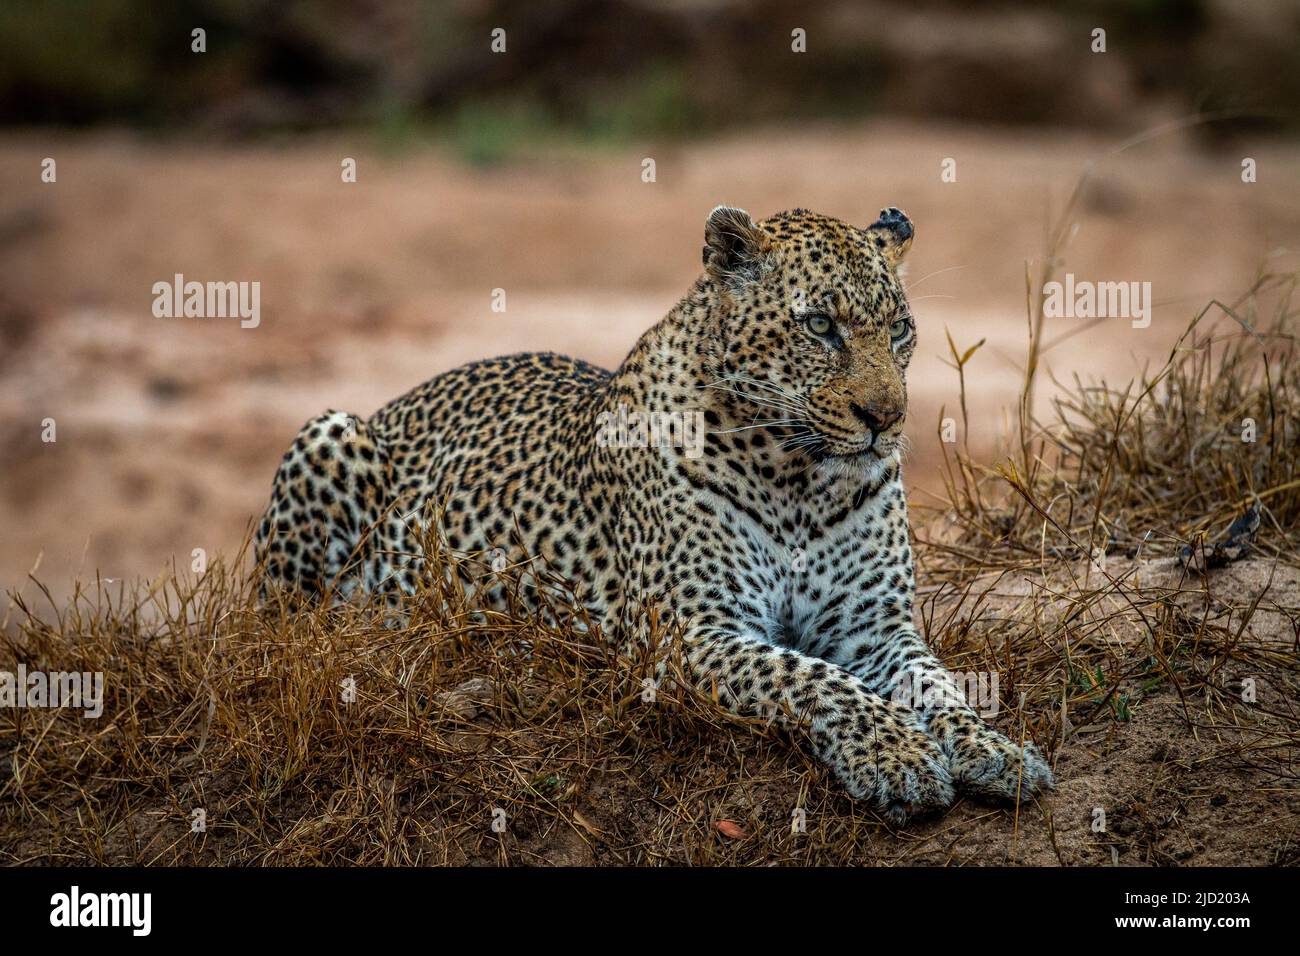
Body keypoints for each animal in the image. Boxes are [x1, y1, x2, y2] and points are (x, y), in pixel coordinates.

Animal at [254, 205, 1054, 823]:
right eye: (821, 325)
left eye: (900, 331)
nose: (885, 418)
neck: (800, 481)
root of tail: (406, 394)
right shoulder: (690, 630)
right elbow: (815, 679)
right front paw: (897, 756)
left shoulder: (874, 625)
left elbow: (938, 685)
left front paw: (993, 750)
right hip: (329, 435)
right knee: (289, 628)